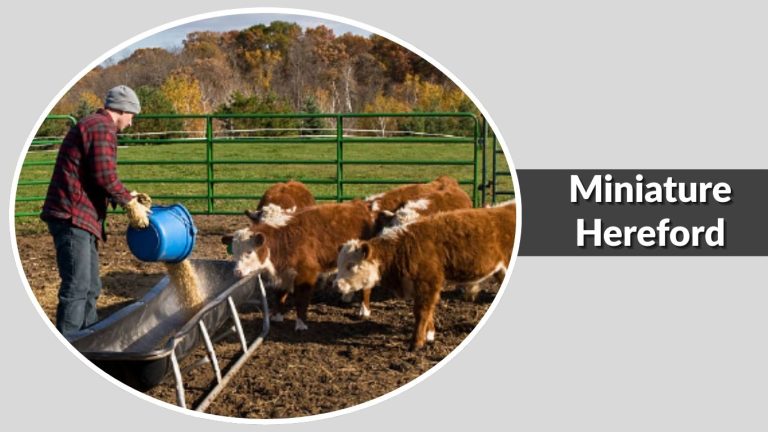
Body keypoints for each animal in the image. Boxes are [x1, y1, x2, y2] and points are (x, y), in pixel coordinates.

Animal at [223, 200, 376, 331]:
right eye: (234, 252)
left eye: (249, 251)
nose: (237, 272)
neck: (284, 240)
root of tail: (361, 204)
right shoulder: (282, 274)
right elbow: (279, 295)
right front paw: (277, 316)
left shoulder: (306, 274)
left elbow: (301, 300)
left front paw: (301, 324)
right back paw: (347, 296)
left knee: (366, 287)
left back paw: (364, 310)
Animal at [335, 201, 516, 350]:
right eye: (339, 264)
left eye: (351, 265)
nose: (336, 286)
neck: (405, 248)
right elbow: (429, 309)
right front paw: (429, 335)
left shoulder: (428, 281)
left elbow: (422, 311)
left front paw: (416, 342)